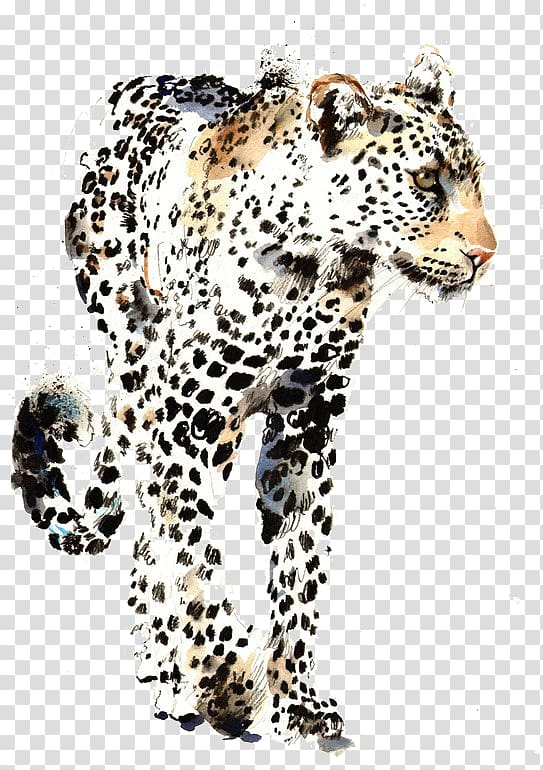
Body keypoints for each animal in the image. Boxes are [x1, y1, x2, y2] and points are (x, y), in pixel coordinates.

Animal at [12, 47, 496, 752]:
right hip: (135, 372)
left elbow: (301, 571)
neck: (311, 265)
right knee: (153, 529)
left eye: (476, 180)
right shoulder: (187, 427)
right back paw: (167, 670)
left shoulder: (307, 431)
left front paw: (298, 701)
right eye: (426, 182)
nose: (487, 254)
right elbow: (196, 567)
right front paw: (228, 686)